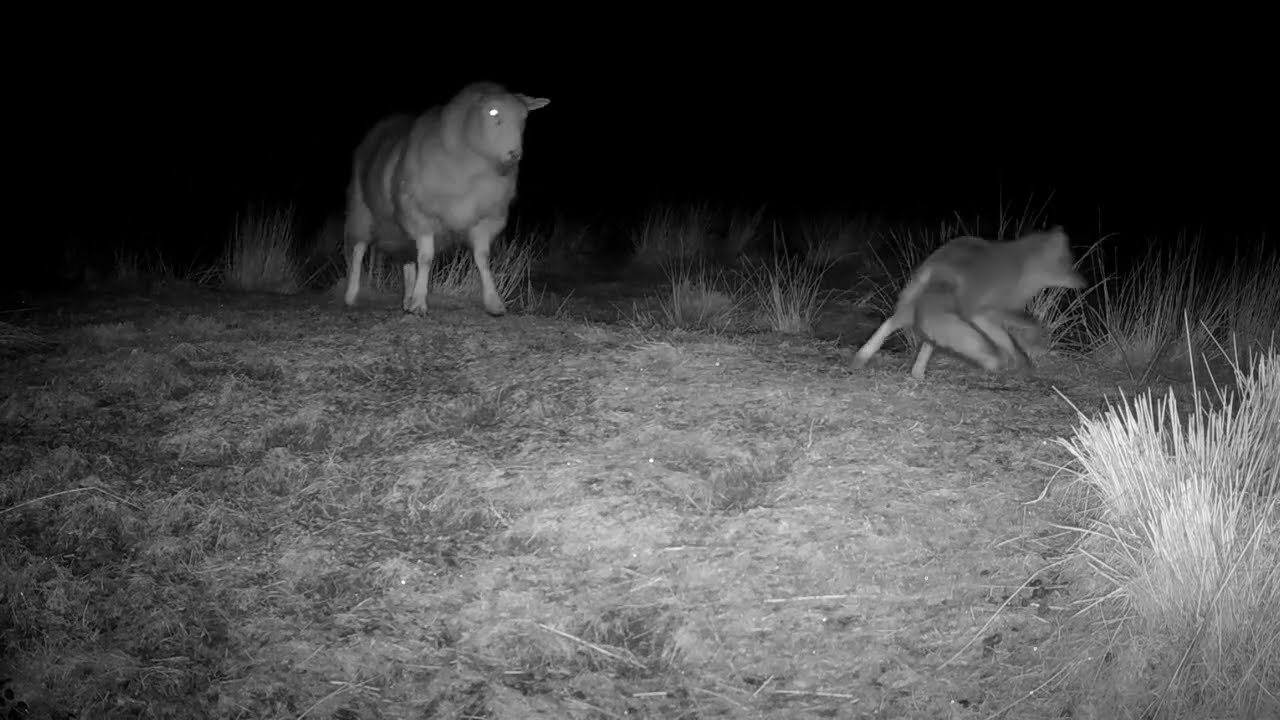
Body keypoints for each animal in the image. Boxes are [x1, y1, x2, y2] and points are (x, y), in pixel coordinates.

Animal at [343, 81, 550, 316]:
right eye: (493, 112)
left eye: (524, 116)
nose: (515, 153)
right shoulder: (420, 213)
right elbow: (426, 258)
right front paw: (419, 302)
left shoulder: (485, 217)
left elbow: (483, 258)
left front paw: (493, 302)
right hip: (361, 207)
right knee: (359, 250)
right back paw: (351, 295)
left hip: (398, 222)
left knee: (407, 258)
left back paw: (406, 298)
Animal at [852, 226, 1087, 379]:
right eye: (1067, 264)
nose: (1083, 282)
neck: (1021, 268)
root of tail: (941, 267)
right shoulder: (988, 312)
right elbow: (1022, 332)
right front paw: (1025, 358)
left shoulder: (987, 316)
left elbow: (1009, 339)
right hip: (957, 311)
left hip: (915, 309)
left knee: (895, 326)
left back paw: (873, 360)